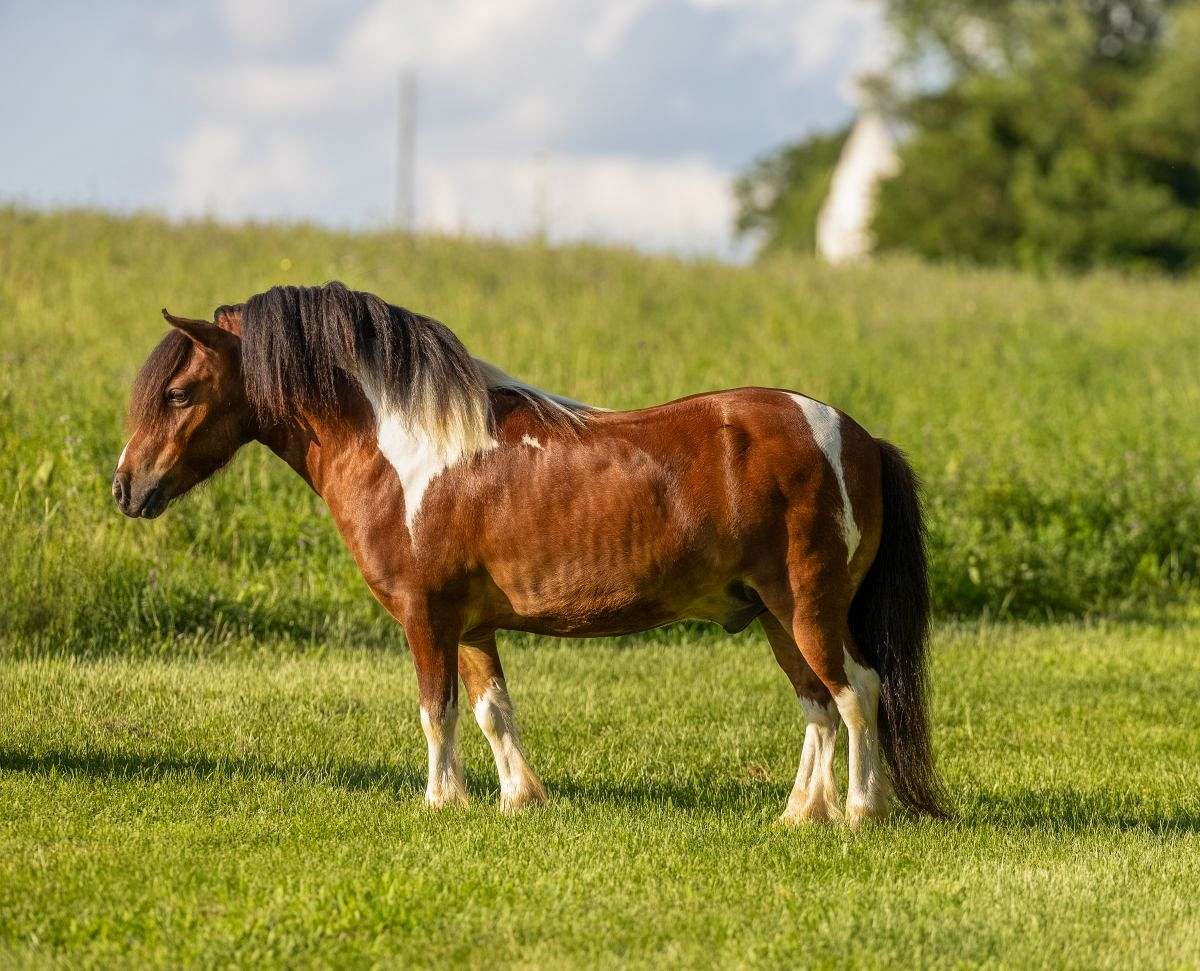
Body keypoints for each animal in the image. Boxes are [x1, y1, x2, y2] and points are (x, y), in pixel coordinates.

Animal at [113, 281, 945, 825]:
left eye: (179, 393)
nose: (126, 486)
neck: (403, 446)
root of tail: (856, 435)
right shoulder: (471, 623)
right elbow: (492, 708)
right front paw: (518, 799)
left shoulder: (425, 617)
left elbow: (437, 709)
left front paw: (441, 801)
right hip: (776, 615)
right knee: (818, 706)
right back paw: (799, 814)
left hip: (810, 609)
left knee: (858, 692)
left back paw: (860, 811)